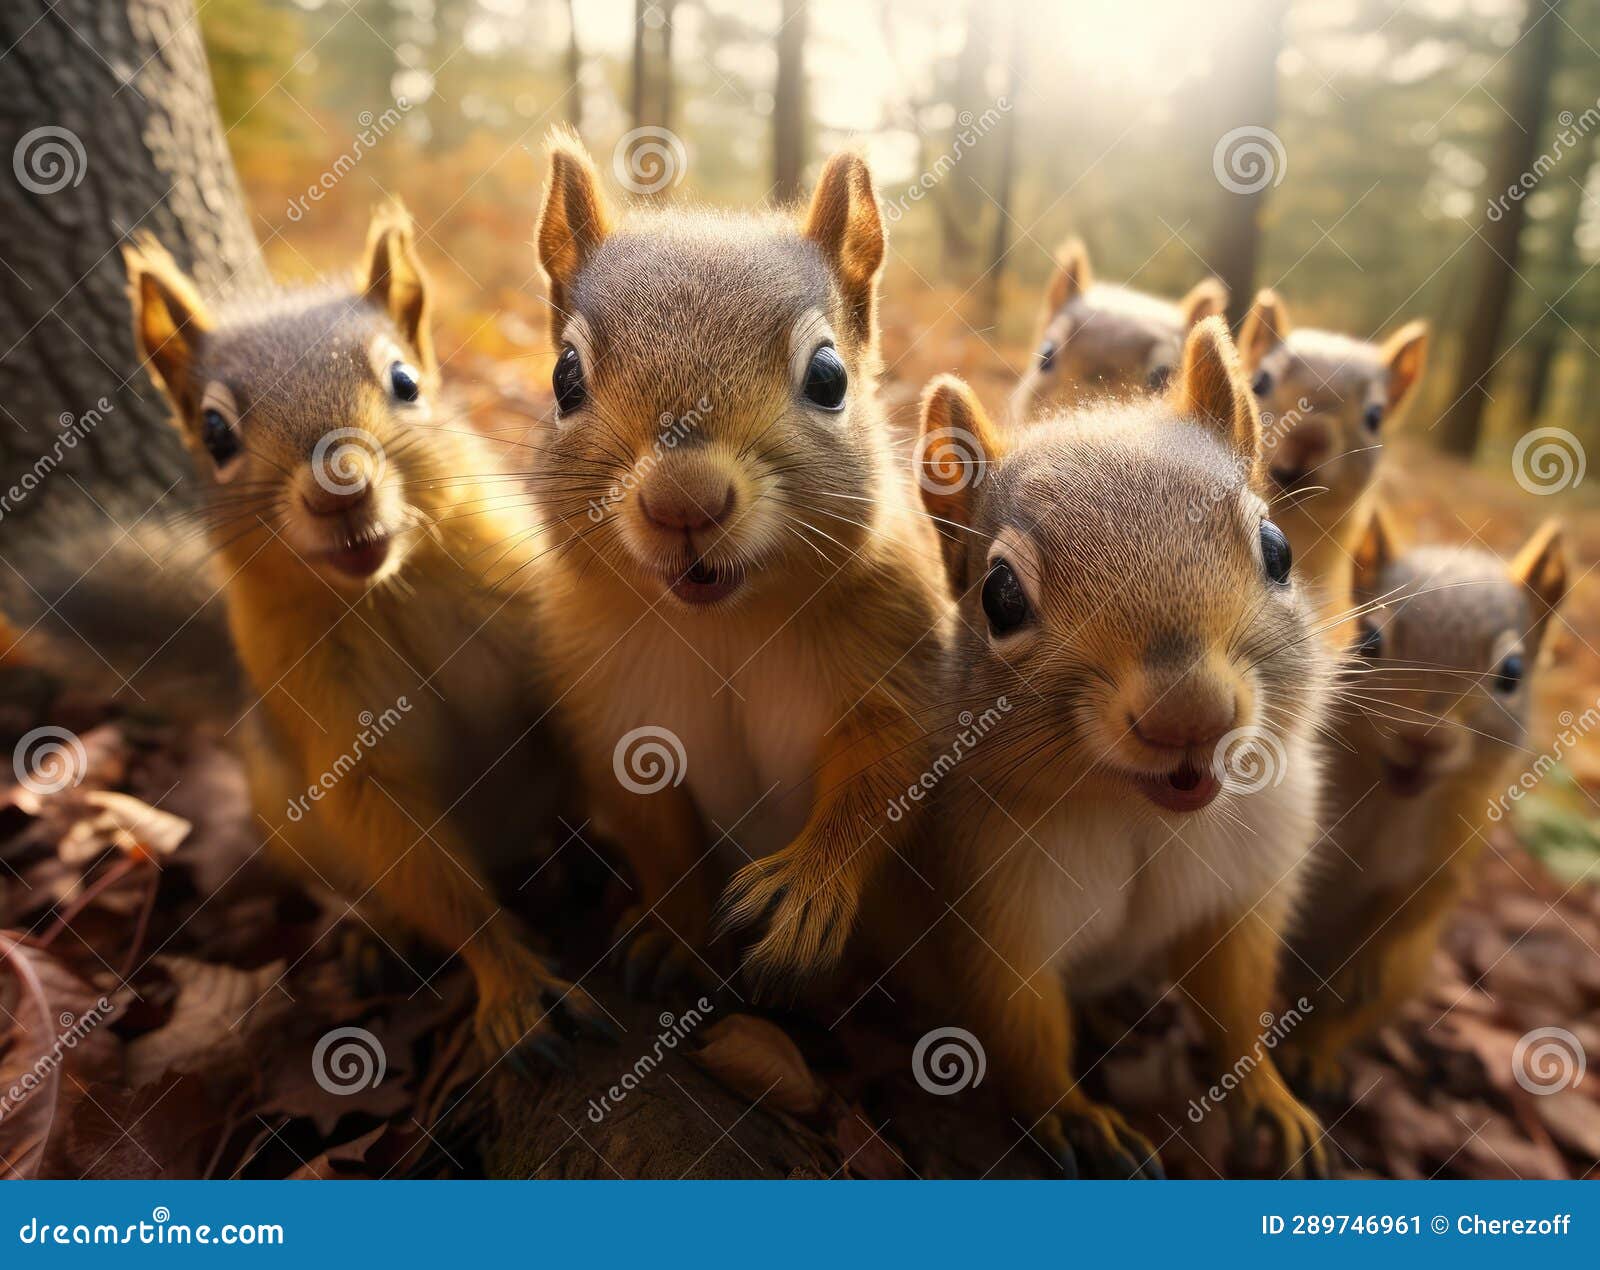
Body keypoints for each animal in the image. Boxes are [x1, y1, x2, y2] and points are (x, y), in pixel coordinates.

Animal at [113, 205, 614, 1069]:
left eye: (406, 382)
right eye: (214, 432)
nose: (337, 486)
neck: (384, 597)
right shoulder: (343, 739)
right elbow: (423, 866)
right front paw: (516, 987)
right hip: (291, 822)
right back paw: (372, 934)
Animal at [528, 129, 950, 998]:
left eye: (829, 377)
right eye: (564, 377)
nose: (682, 501)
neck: (724, 629)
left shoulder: (902, 656)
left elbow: (885, 777)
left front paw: (806, 890)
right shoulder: (606, 712)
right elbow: (657, 837)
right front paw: (675, 932)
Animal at [861, 317, 1334, 1178]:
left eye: (1279, 549)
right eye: (999, 597)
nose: (1190, 715)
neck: (1139, 818)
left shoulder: (1244, 884)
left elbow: (1236, 998)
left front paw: (1269, 1097)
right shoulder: (992, 893)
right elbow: (1017, 1019)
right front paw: (1075, 1119)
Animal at [1278, 508, 1568, 1099]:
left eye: (1512, 672)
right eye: (1368, 641)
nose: (1422, 739)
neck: (1394, 799)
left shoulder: (1458, 841)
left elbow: (1426, 896)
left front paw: (1365, 958)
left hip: (1405, 974)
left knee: (1340, 1017)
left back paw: (1312, 1055)